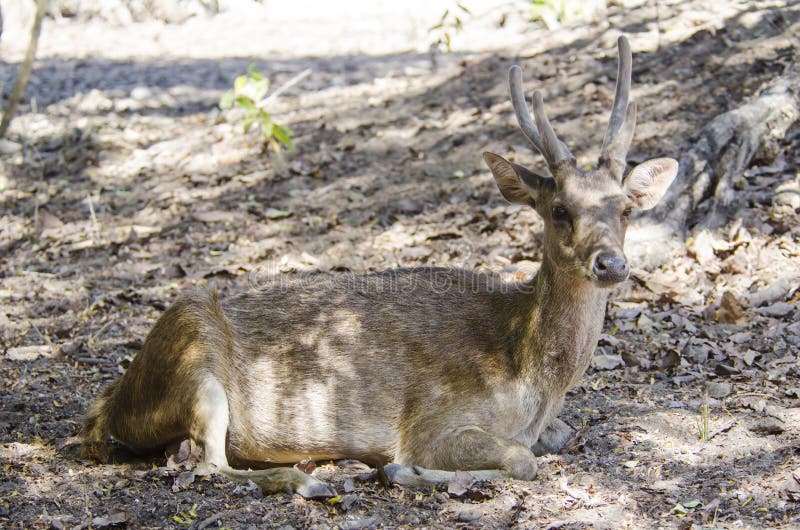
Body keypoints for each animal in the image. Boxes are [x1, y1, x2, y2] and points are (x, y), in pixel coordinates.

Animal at [82, 36, 678, 498]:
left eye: (626, 208)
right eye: (559, 209)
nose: (611, 263)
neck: (530, 378)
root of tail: (111, 405)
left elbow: (561, 436)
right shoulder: (435, 422)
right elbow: (520, 461)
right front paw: (402, 470)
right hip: (194, 358)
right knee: (207, 463)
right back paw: (308, 478)